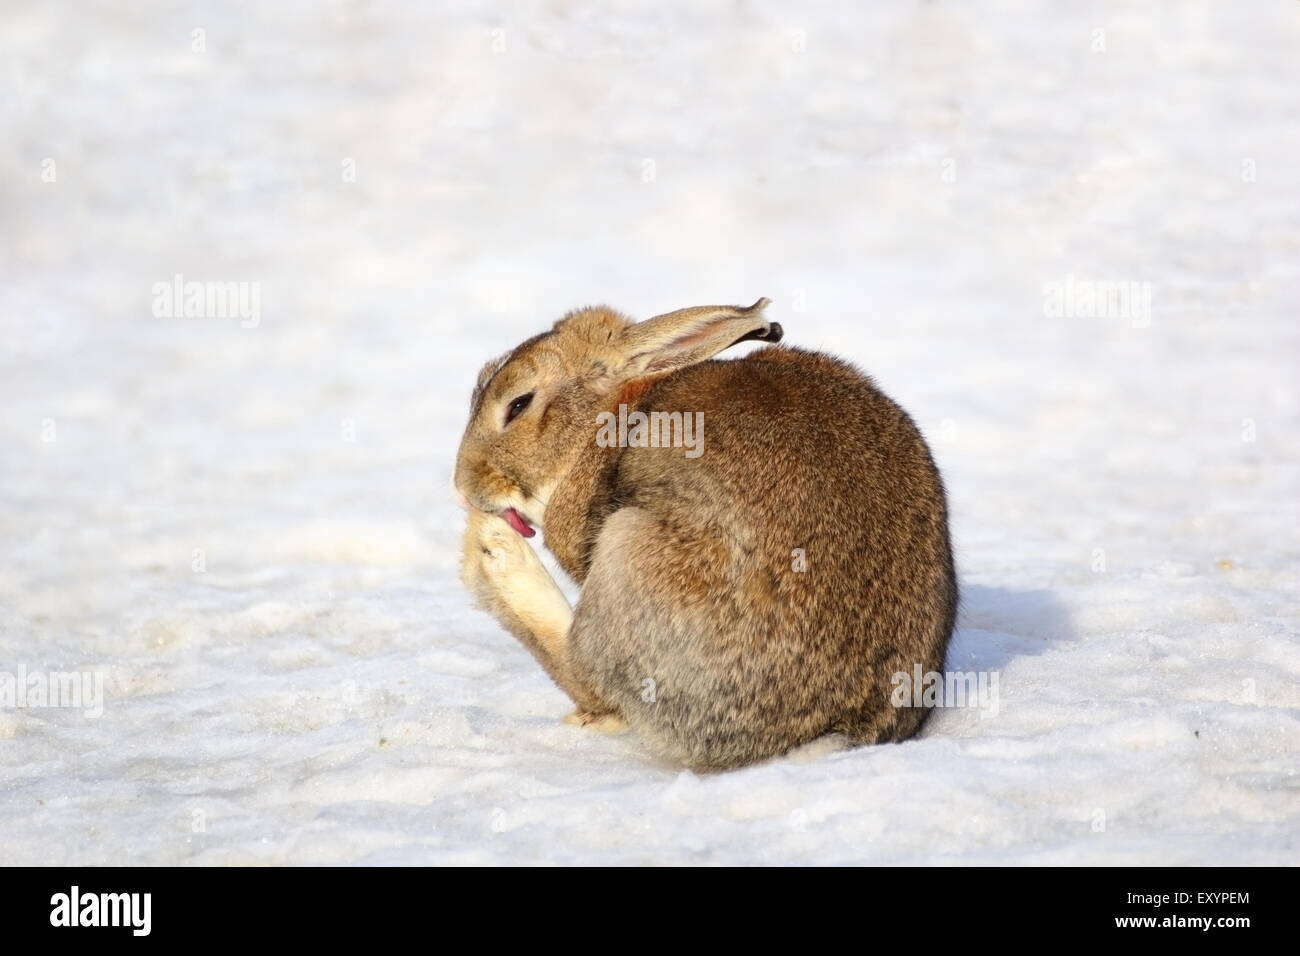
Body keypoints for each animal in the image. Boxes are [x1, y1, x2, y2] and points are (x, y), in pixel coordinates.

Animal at [455, 297, 957, 771]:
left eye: (519, 404)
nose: (463, 485)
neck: (608, 419)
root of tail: (825, 731)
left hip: (628, 554)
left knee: (594, 682)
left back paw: (492, 555)